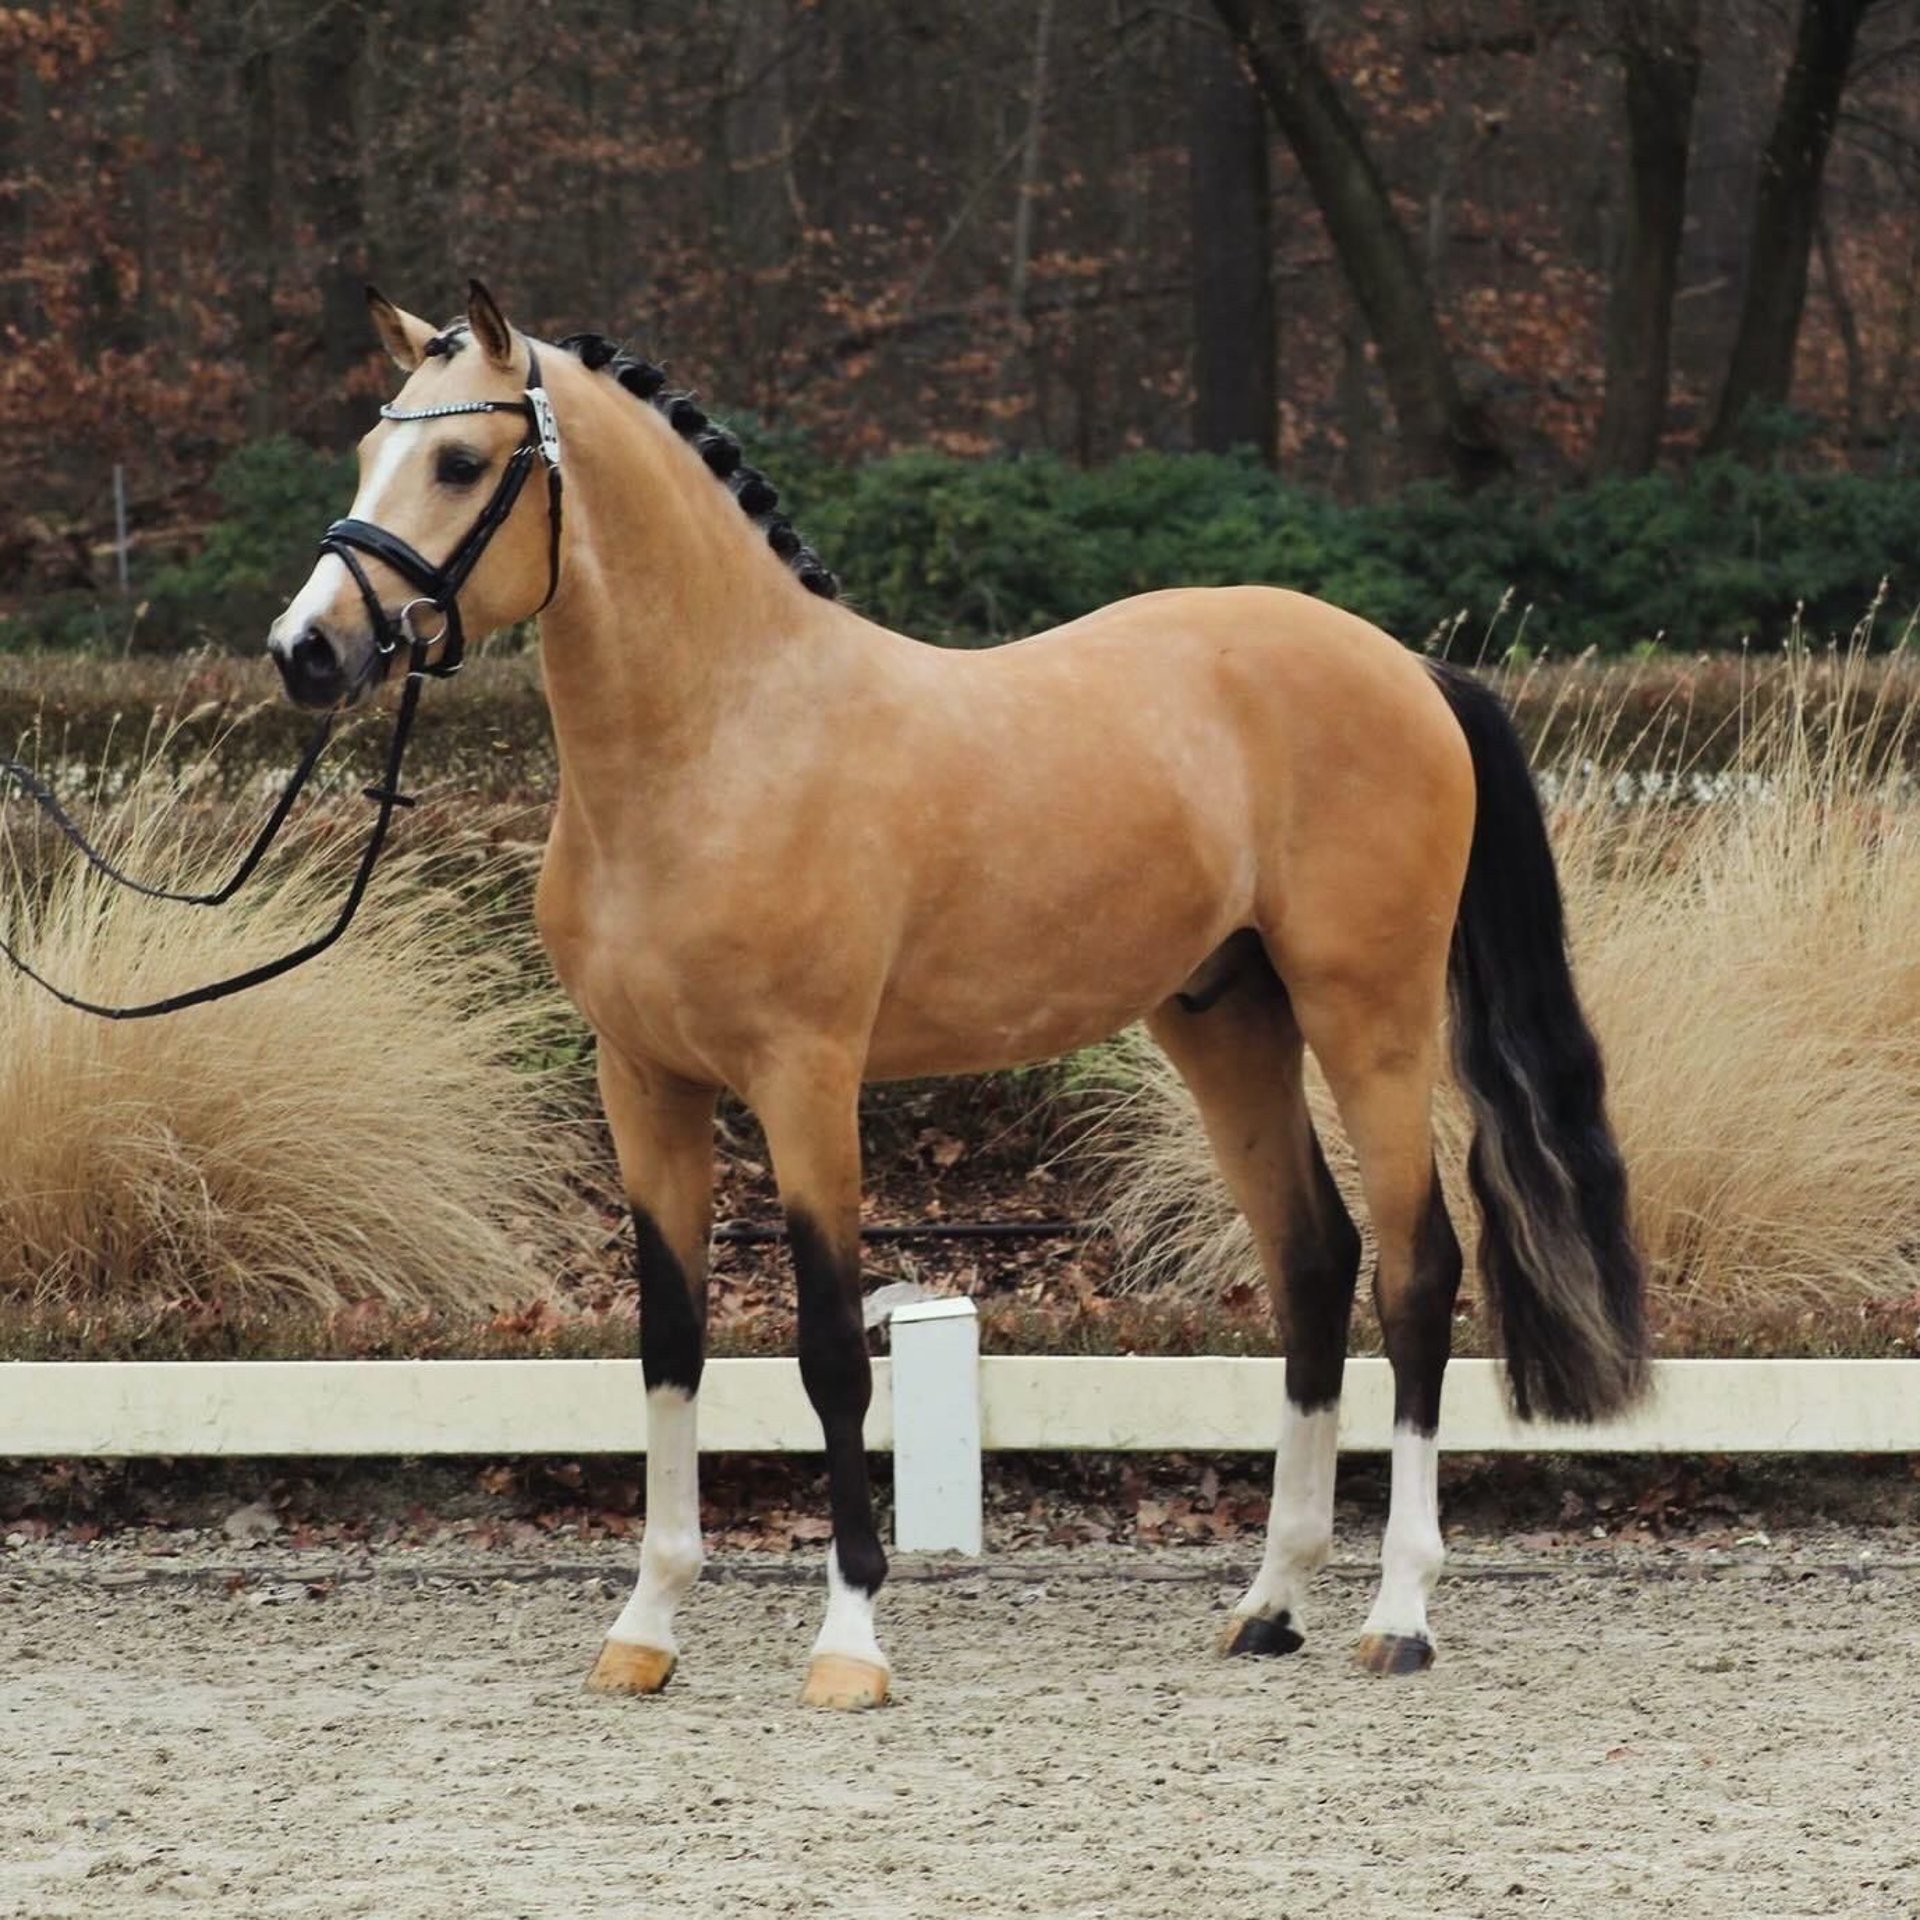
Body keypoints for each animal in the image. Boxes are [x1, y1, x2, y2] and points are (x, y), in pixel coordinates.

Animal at [267, 281, 1647, 1709]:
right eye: (367, 452)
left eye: (460, 461)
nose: (306, 652)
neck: (723, 740)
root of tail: (1409, 670)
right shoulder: (644, 1086)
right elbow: (670, 1344)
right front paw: (645, 1627)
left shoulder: (807, 1082)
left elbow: (828, 1350)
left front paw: (849, 1640)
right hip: (1227, 1021)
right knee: (1315, 1262)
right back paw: (1270, 1604)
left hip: (1368, 1016)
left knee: (1419, 1273)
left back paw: (1400, 1611)